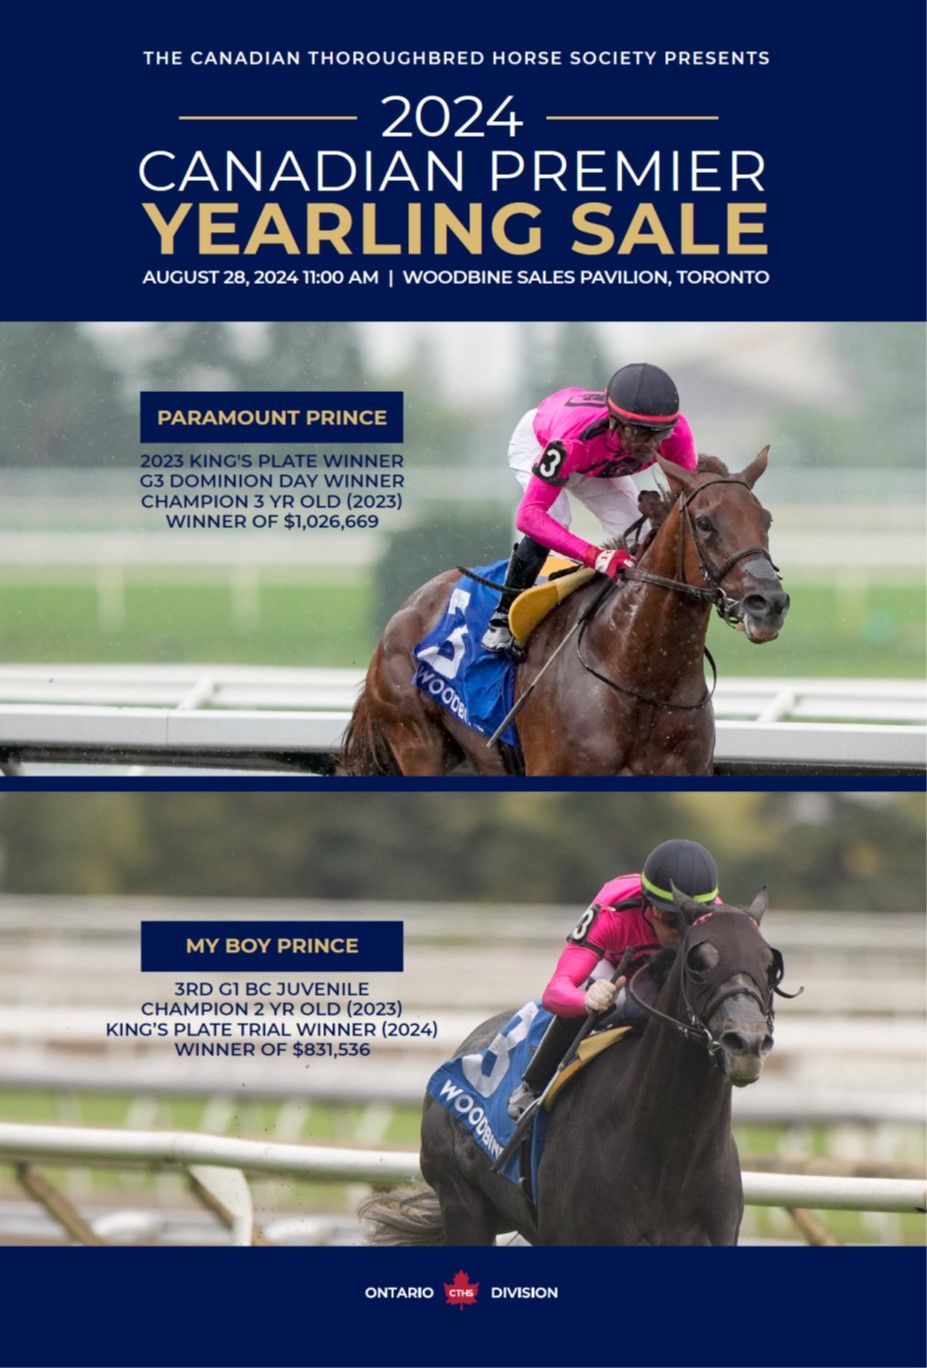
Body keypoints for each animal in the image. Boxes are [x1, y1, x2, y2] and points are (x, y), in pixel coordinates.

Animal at [339, 448, 789, 776]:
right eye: (705, 522)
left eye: (766, 519)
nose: (769, 603)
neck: (642, 679)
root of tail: (407, 607)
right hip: (416, 741)